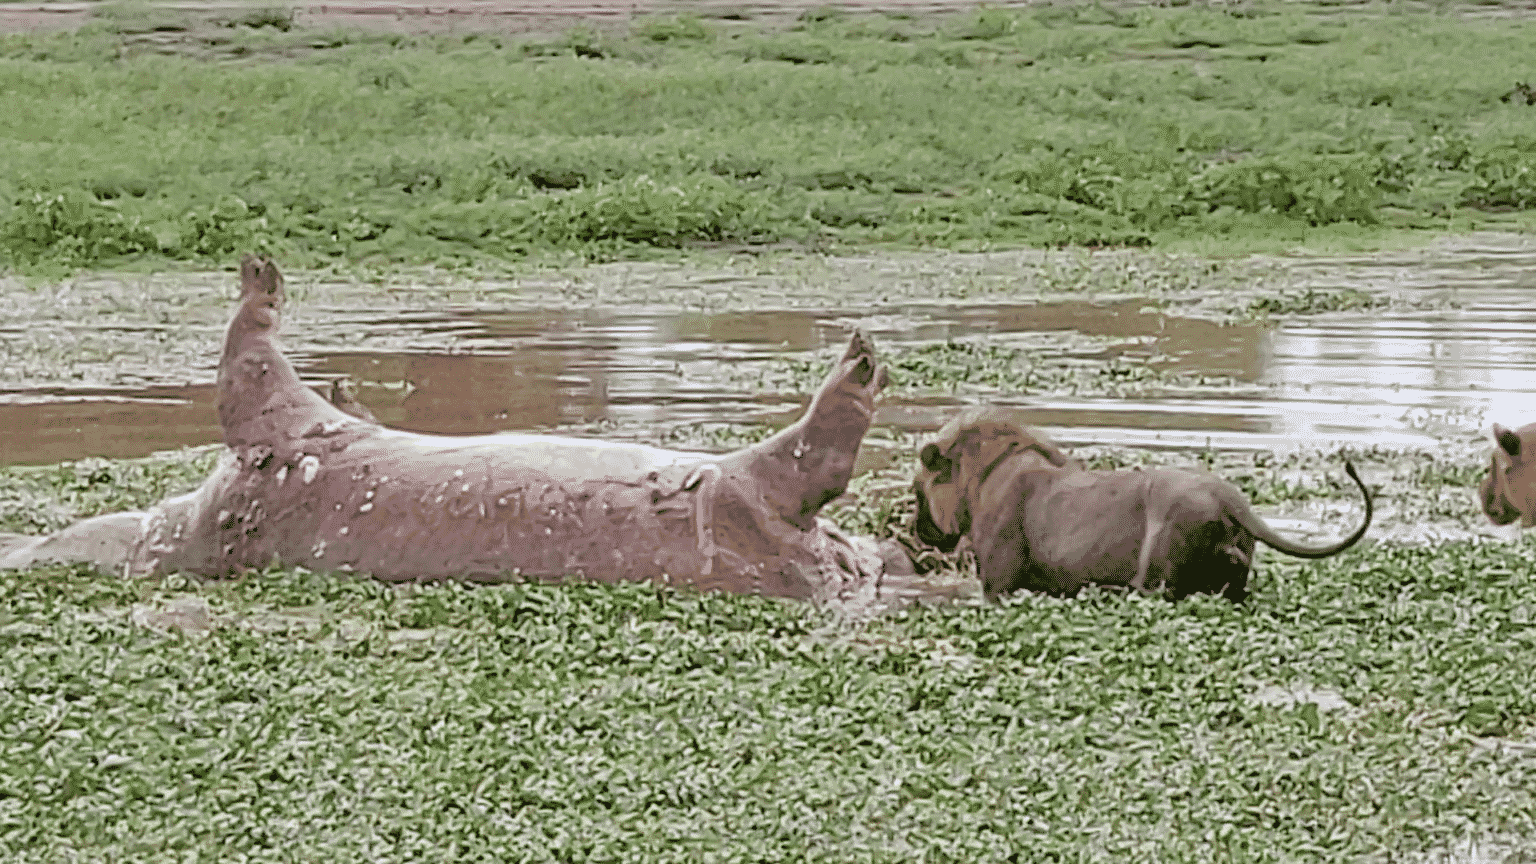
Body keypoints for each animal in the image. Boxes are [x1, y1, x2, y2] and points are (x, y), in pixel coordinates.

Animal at [910, 407, 1373, 602]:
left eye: (916, 491)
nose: (917, 532)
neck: (981, 477)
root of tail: (1230, 498)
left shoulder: (998, 583)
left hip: (1156, 566)